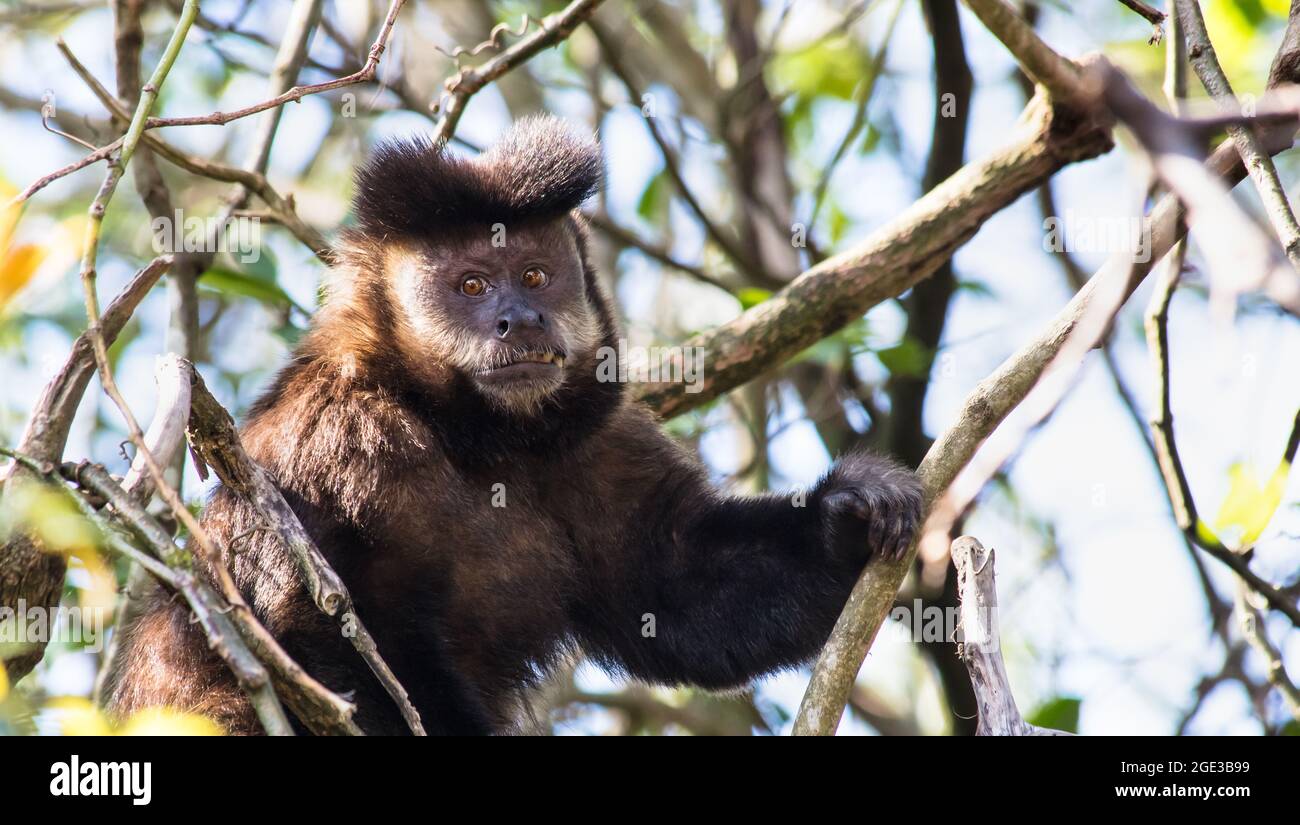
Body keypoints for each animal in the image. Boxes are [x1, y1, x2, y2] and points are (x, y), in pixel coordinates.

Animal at [104, 115, 924, 735]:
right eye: (471, 285)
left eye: (533, 274)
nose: (520, 319)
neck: (473, 439)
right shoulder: (331, 438)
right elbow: (297, 631)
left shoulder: (598, 447)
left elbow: (678, 594)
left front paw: (846, 514)